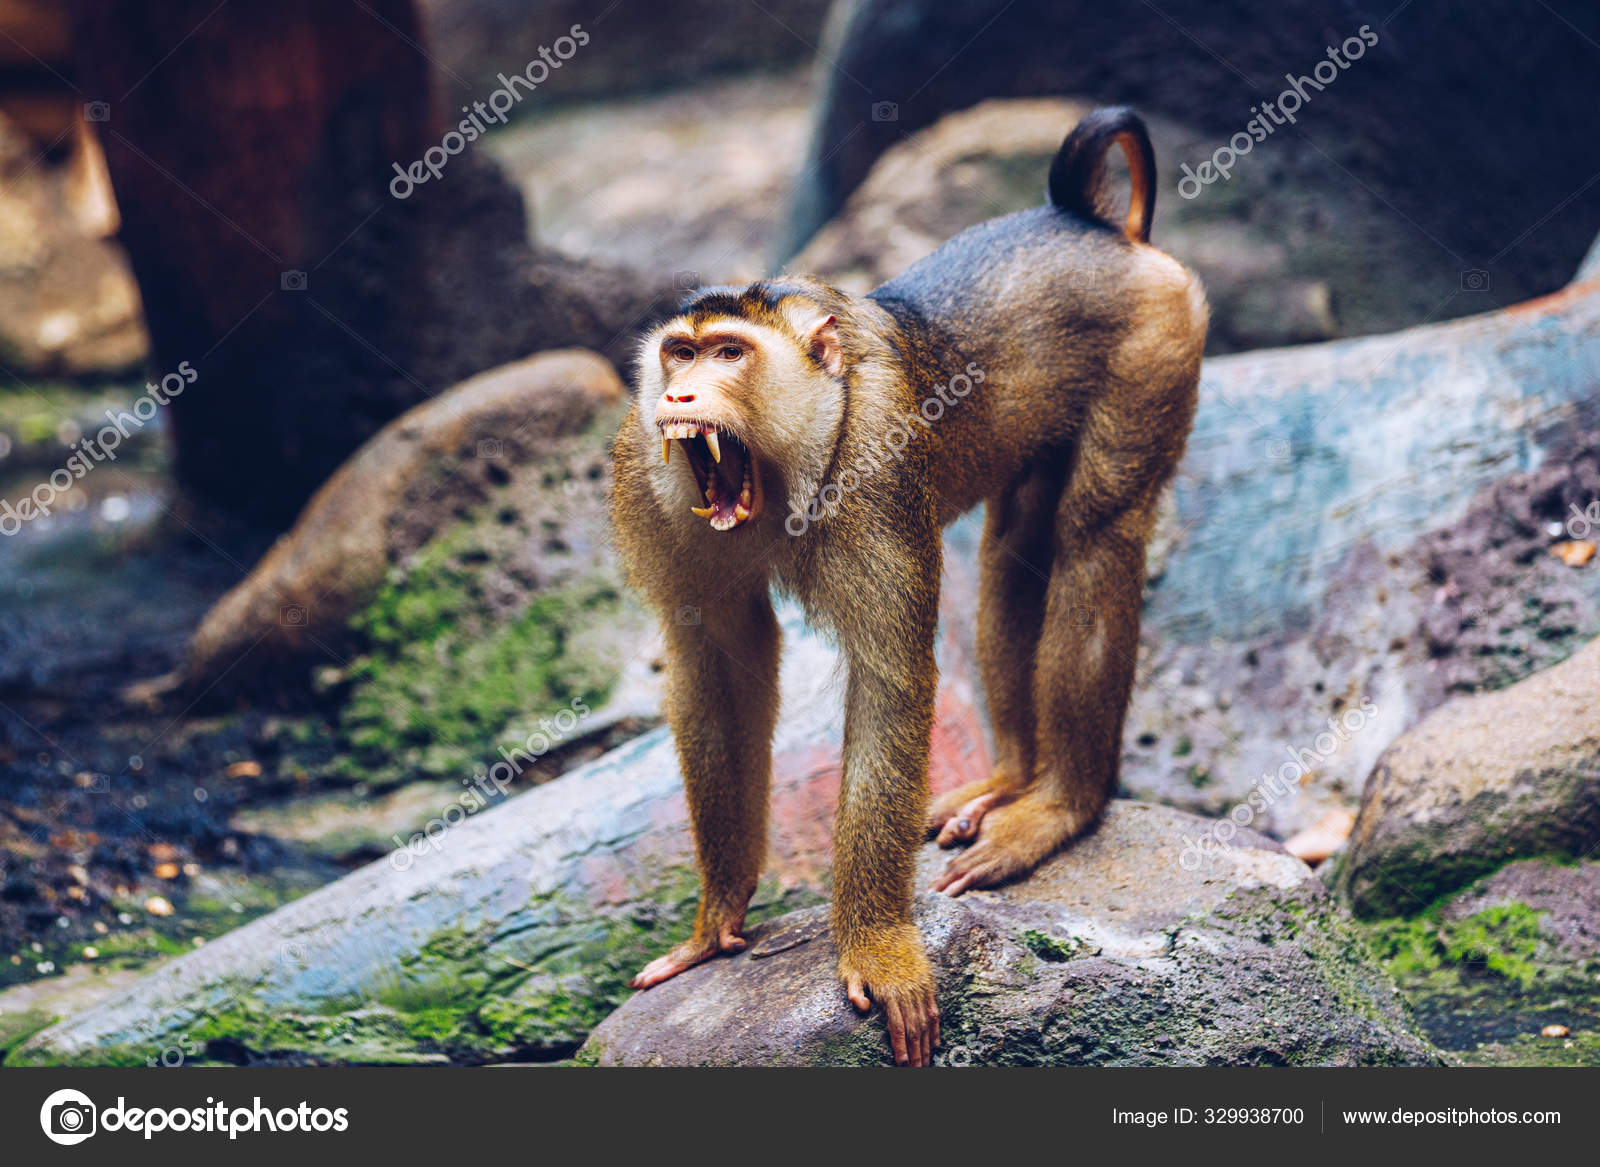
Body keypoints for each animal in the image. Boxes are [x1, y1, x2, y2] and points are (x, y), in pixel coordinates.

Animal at [609, 108, 1207, 1066]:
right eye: (680, 353)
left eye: (730, 352)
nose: (683, 394)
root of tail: (1085, 222)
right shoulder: (644, 469)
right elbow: (720, 673)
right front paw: (716, 919)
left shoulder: (878, 459)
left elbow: (891, 681)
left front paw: (879, 946)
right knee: (1015, 548)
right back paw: (1011, 774)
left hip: (1156, 338)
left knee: (1095, 535)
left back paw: (1060, 804)